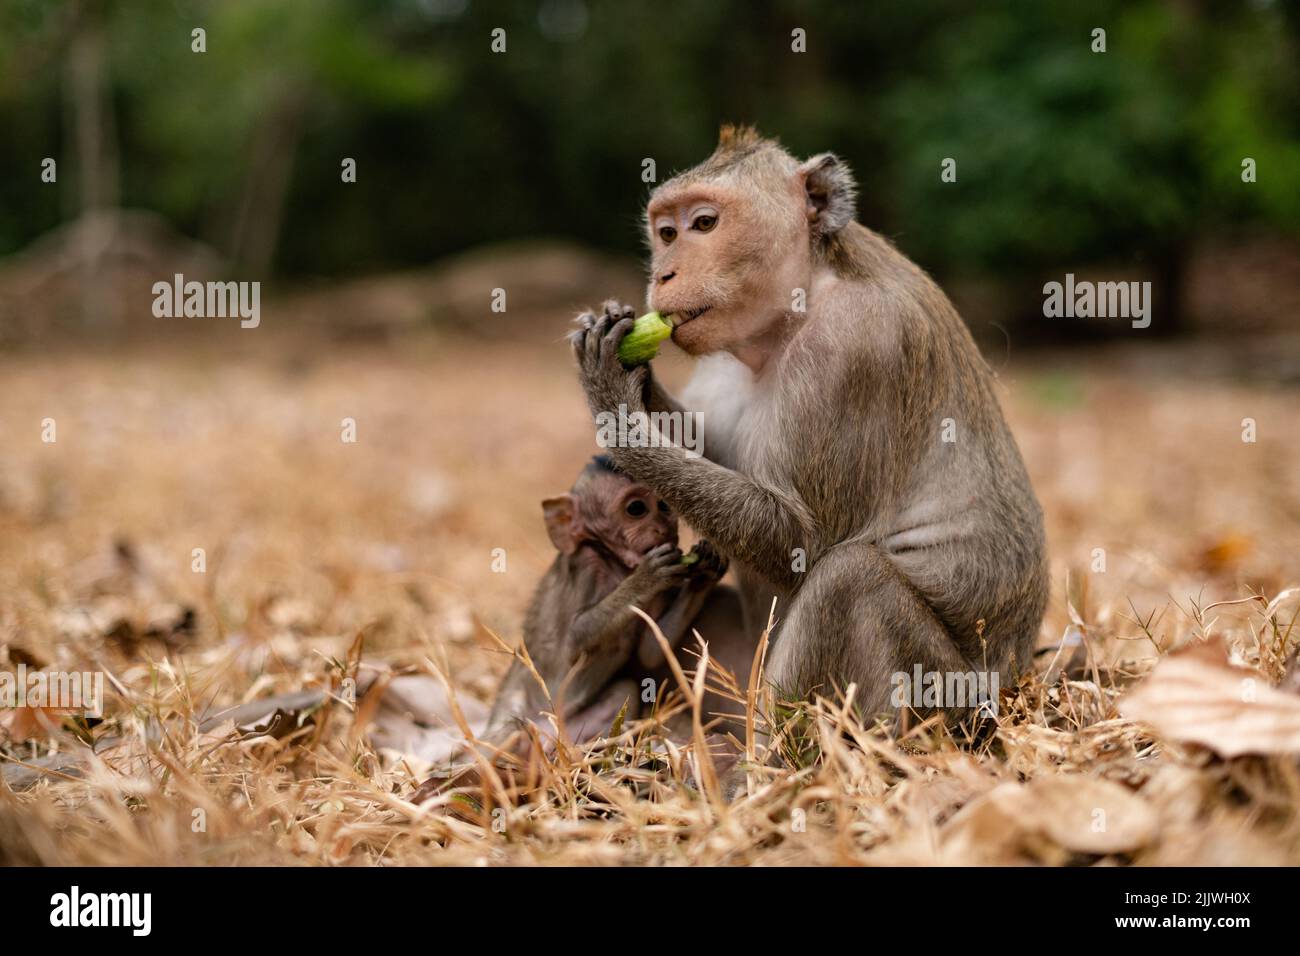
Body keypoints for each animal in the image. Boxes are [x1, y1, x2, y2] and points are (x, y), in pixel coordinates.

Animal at [483, 455, 735, 751]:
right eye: (636, 508)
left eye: (664, 504)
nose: (665, 527)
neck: (615, 563)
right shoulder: (588, 565)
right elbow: (575, 638)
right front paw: (646, 577)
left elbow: (649, 652)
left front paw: (705, 568)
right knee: (514, 732)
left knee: (626, 690)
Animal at [571, 126, 1049, 739]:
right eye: (667, 232)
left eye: (704, 224)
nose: (663, 274)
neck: (795, 309)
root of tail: (1013, 688)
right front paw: (638, 371)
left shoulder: (852, 348)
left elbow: (798, 540)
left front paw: (613, 401)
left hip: (946, 703)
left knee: (851, 579)